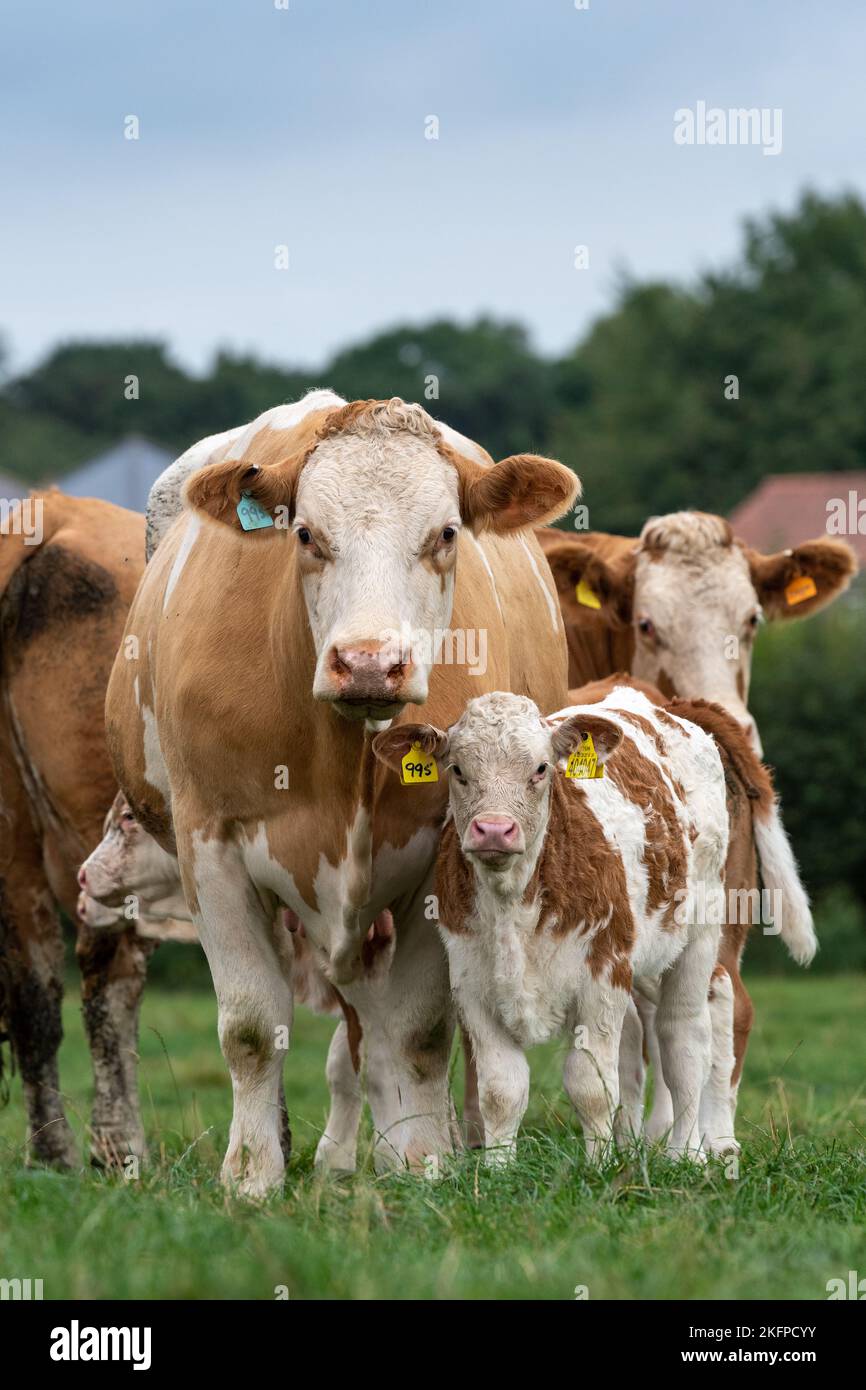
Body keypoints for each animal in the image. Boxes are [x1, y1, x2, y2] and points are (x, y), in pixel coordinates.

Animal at [105, 392, 579, 1195]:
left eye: (445, 533)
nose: (367, 662)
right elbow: (251, 1027)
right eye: (305, 533)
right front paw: (252, 1175)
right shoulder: (210, 844)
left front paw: (422, 1162)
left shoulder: (440, 857)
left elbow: (418, 1031)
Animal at [372, 687, 731, 1162]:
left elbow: (591, 1087)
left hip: (698, 934)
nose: (494, 830)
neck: (514, 907)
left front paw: (599, 1166)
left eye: (541, 769)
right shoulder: (471, 985)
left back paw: (685, 1153)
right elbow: (500, 1091)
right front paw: (498, 1168)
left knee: (684, 1040)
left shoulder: (602, 976)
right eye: (458, 769)